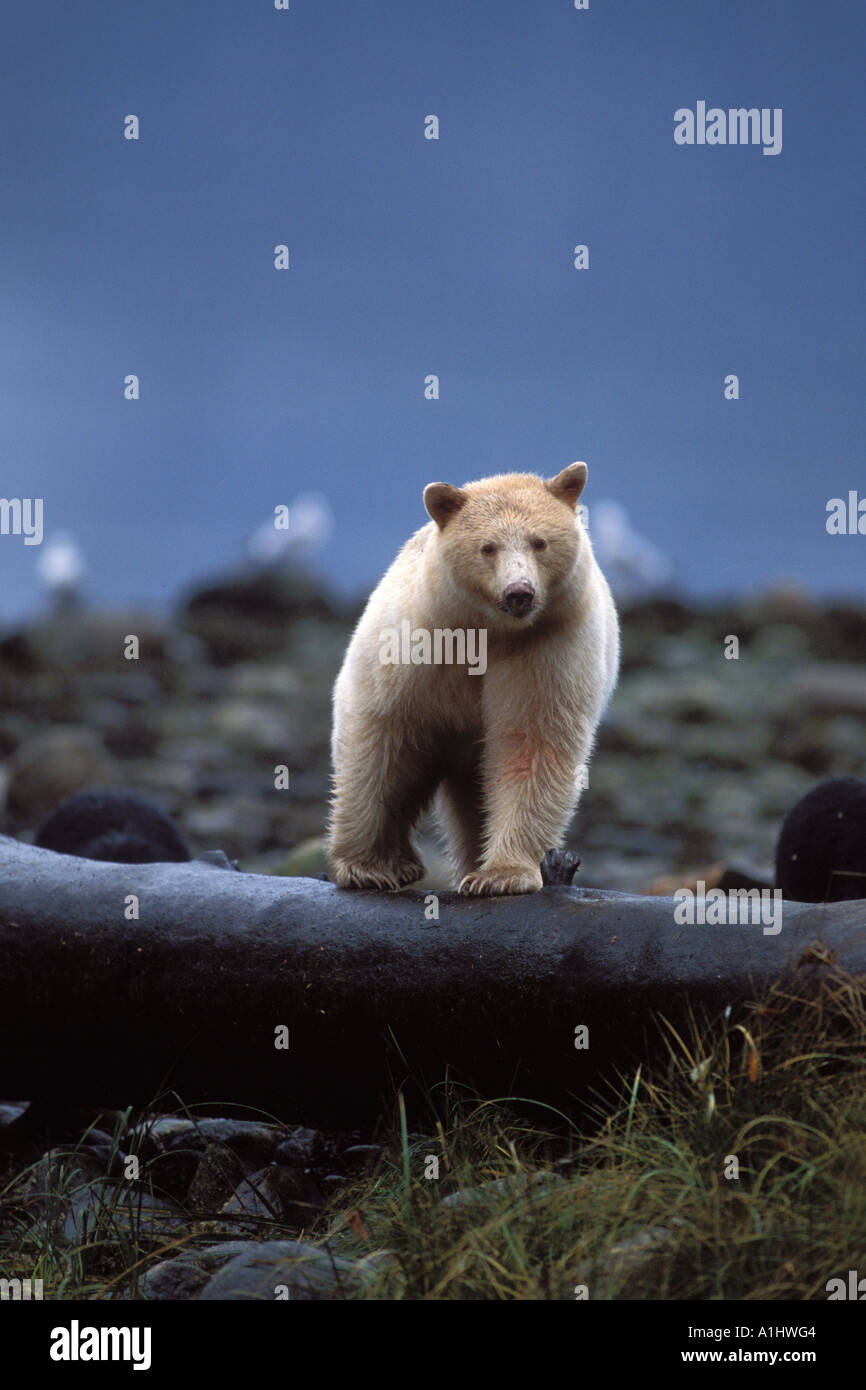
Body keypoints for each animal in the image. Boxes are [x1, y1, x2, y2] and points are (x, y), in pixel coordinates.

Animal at [328, 462, 620, 895]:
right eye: (488, 547)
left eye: (539, 542)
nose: (519, 592)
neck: (486, 631)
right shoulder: (417, 643)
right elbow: (382, 737)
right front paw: (369, 867)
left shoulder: (548, 645)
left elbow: (532, 743)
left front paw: (500, 875)